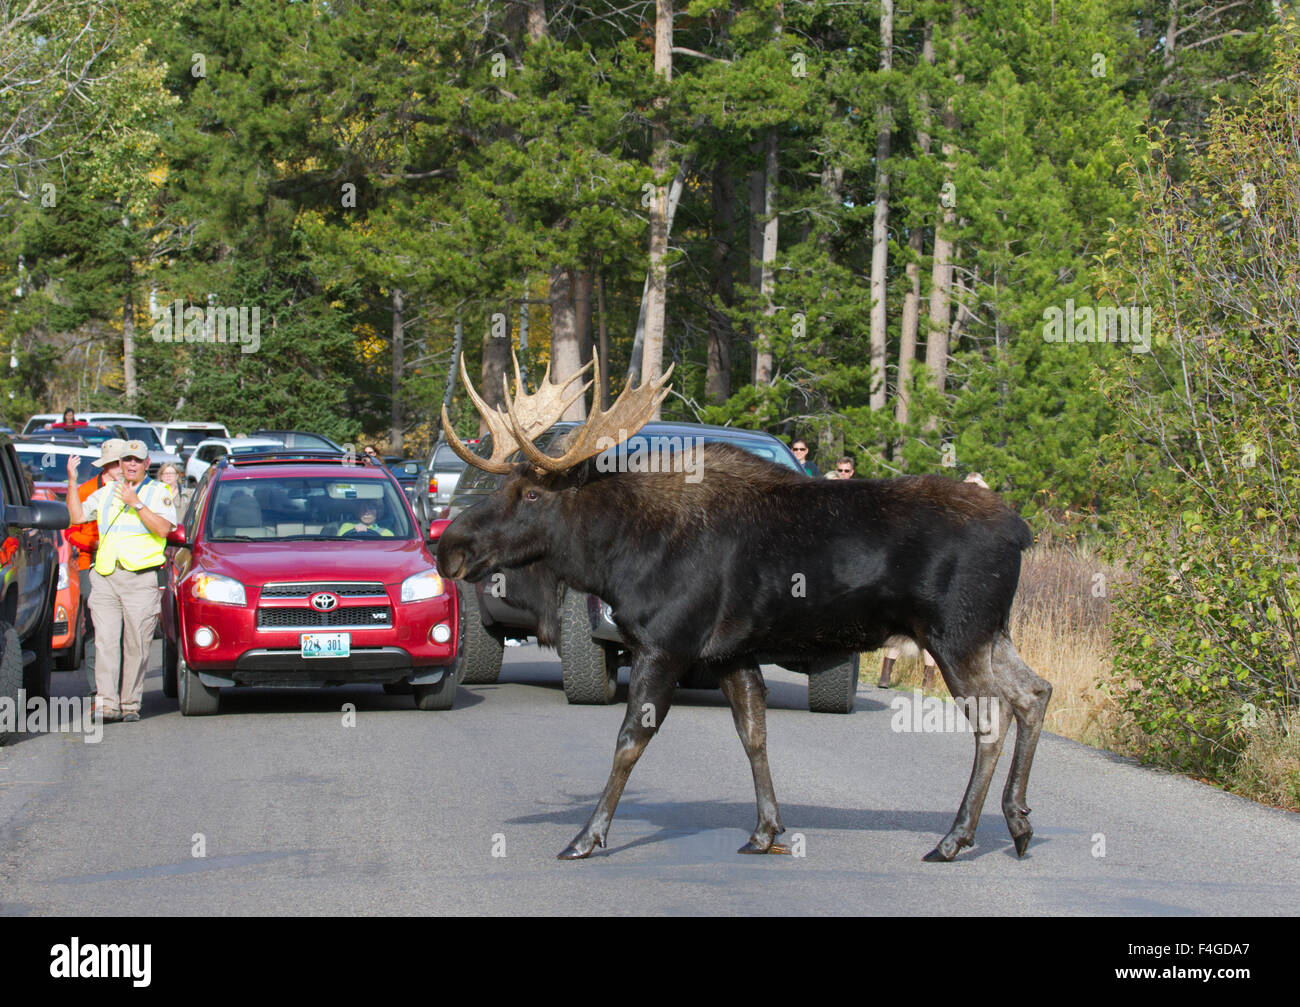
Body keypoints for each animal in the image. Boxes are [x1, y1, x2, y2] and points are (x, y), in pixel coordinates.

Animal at [436, 353, 1052, 862]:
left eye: (532, 494)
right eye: (503, 486)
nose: (449, 548)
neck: (617, 554)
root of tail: (1021, 534)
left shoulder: (666, 643)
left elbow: (630, 741)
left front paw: (587, 837)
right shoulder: (729, 652)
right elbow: (753, 734)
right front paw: (765, 831)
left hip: (954, 633)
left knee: (994, 717)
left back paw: (954, 838)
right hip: (991, 633)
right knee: (1034, 692)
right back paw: (1019, 823)